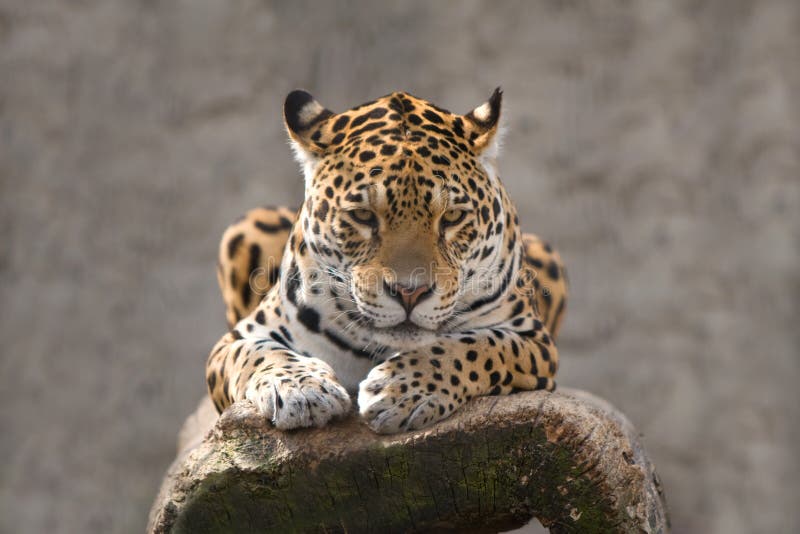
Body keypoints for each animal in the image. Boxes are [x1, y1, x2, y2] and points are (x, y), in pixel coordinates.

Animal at [206, 88, 567, 434]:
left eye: (451, 217)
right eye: (363, 216)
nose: (409, 292)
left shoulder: (532, 338)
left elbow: (476, 347)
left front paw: (403, 390)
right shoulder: (237, 339)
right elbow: (261, 354)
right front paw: (300, 389)